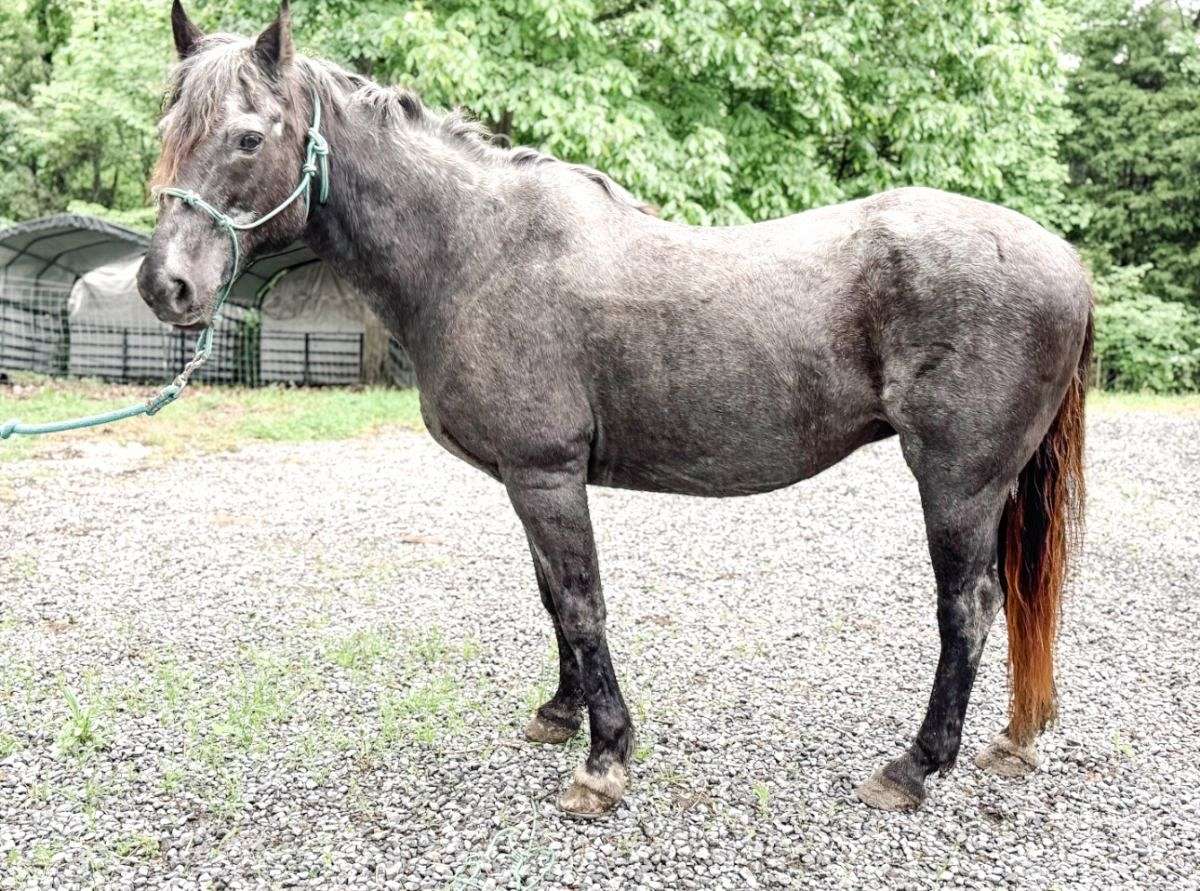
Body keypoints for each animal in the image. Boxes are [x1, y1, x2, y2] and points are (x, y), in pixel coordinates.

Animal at [138, 1, 1092, 818]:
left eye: (248, 136)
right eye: (166, 133)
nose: (164, 286)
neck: (476, 251)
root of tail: (1066, 262)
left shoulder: (546, 474)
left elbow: (581, 601)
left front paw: (604, 762)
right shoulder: (525, 480)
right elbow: (550, 596)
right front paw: (562, 715)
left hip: (958, 482)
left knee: (968, 608)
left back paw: (914, 766)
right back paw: (1009, 742)